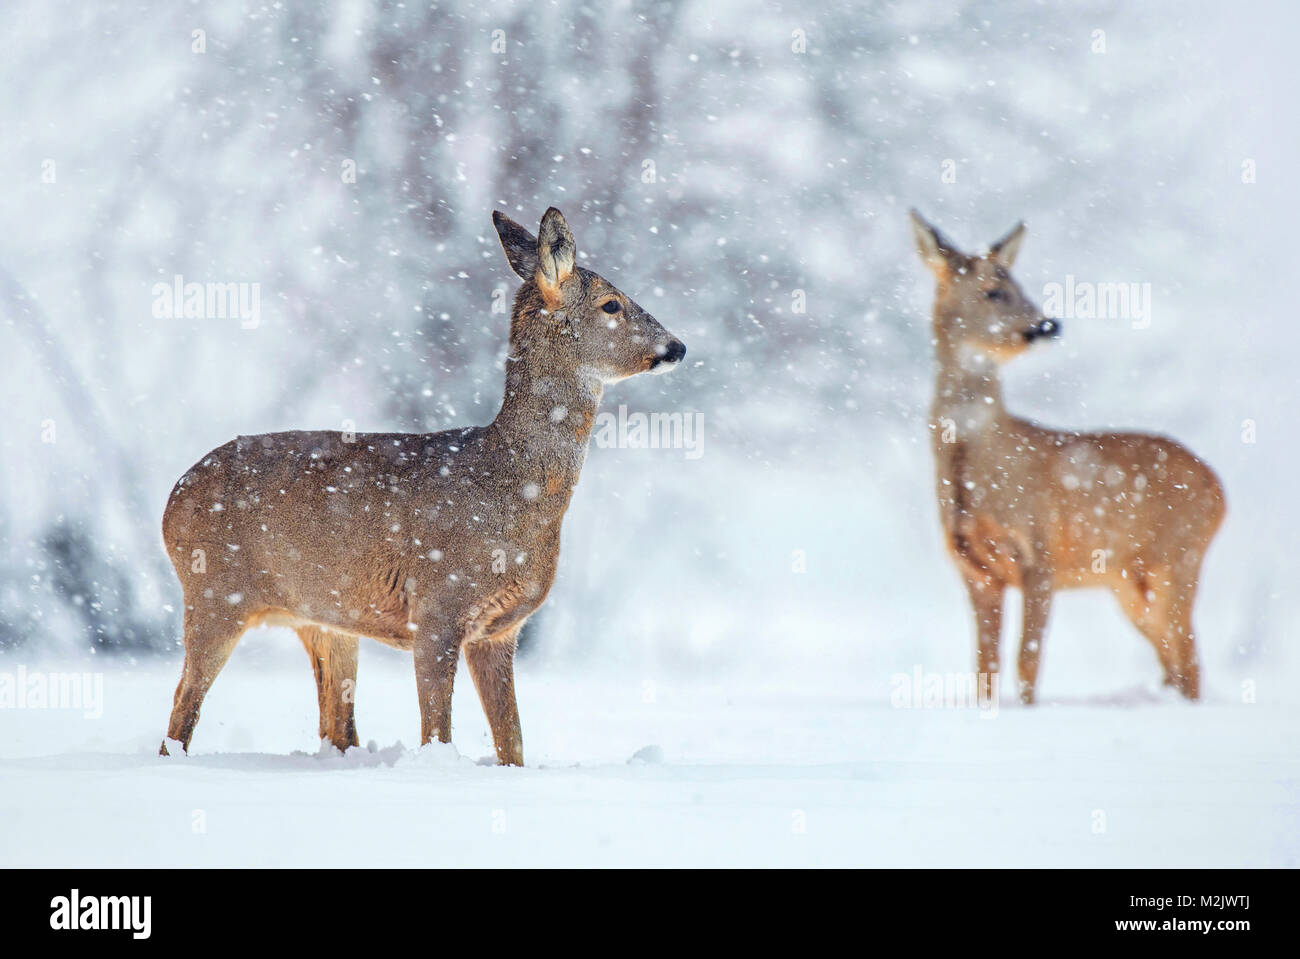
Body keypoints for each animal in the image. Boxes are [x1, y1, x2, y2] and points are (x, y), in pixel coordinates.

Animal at [158, 207, 686, 765]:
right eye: (612, 303)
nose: (677, 346)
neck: (512, 492)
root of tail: (172, 499)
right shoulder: (436, 606)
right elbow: (438, 730)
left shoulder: (500, 630)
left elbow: (513, 741)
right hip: (215, 590)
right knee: (181, 709)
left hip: (324, 619)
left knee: (337, 728)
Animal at [910, 210, 1225, 704]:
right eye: (993, 290)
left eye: (1017, 283)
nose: (1046, 325)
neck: (976, 470)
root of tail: (1220, 490)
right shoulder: (975, 570)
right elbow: (984, 669)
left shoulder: (1040, 549)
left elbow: (1027, 661)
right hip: (1127, 581)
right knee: (1173, 658)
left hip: (1180, 557)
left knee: (1188, 657)